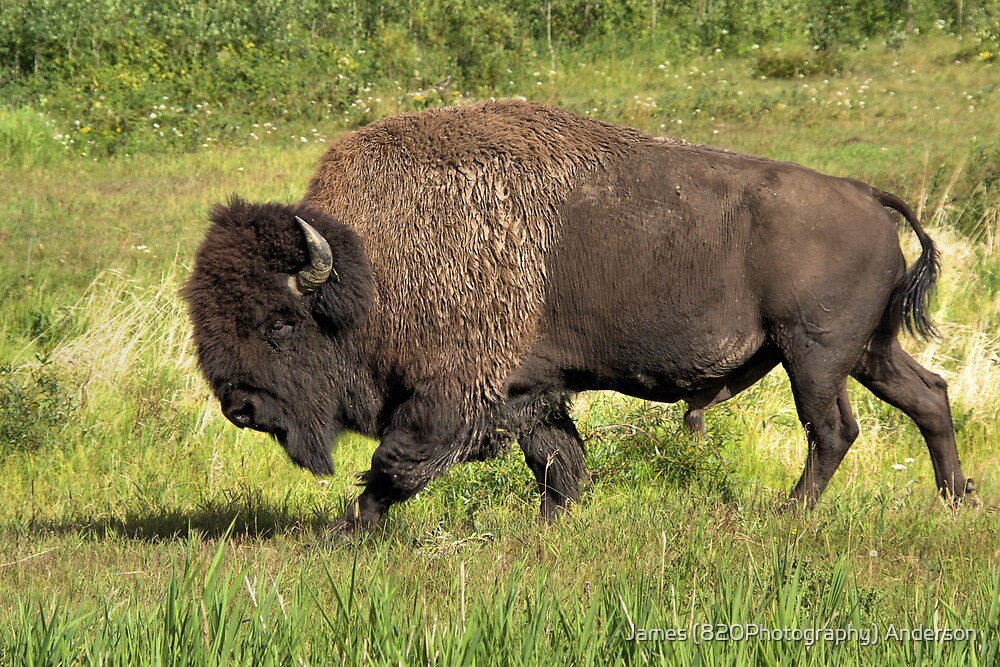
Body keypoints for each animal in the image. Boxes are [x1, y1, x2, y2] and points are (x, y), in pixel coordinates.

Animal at [182, 100, 974, 531]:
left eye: (282, 322)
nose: (239, 406)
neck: (372, 265)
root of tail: (866, 195)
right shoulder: (530, 390)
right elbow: (559, 459)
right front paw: (553, 522)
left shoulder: (453, 395)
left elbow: (396, 465)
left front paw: (344, 531)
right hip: (864, 352)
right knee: (928, 396)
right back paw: (954, 499)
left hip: (813, 354)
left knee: (832, 430)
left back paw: (792, 511)